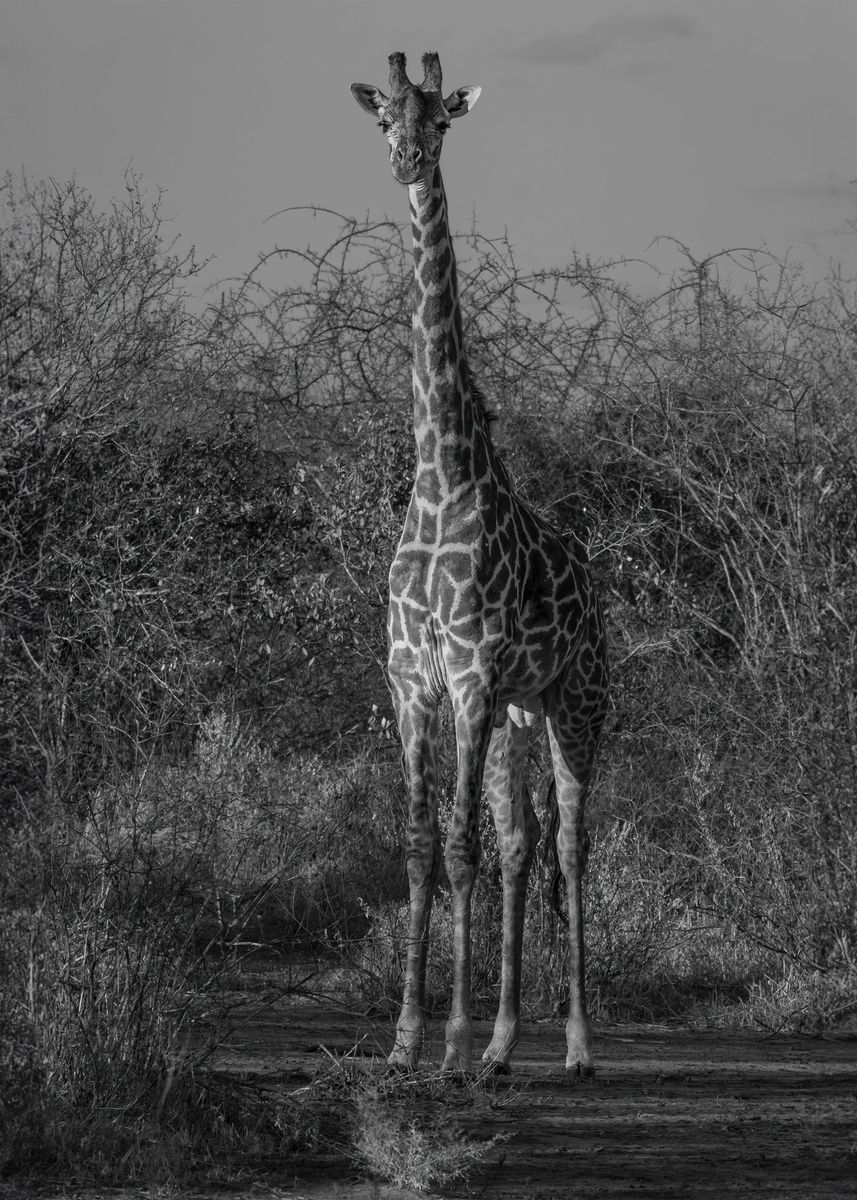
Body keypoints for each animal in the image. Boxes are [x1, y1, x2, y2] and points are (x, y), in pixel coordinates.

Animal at [351, 51, 609, 1076]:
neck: (440, 476)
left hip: (577, 701)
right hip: (516, 713)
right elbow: (424, 845)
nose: (407, 162)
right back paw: (504, 1047)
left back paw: (573, 1047)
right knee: (520, 840)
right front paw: (407, 1041)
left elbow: (457, 846)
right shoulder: (411, 683)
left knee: (570, 844)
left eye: (443, 120)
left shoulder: (466, 678)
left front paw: (449, 1043)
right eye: (384, 117)